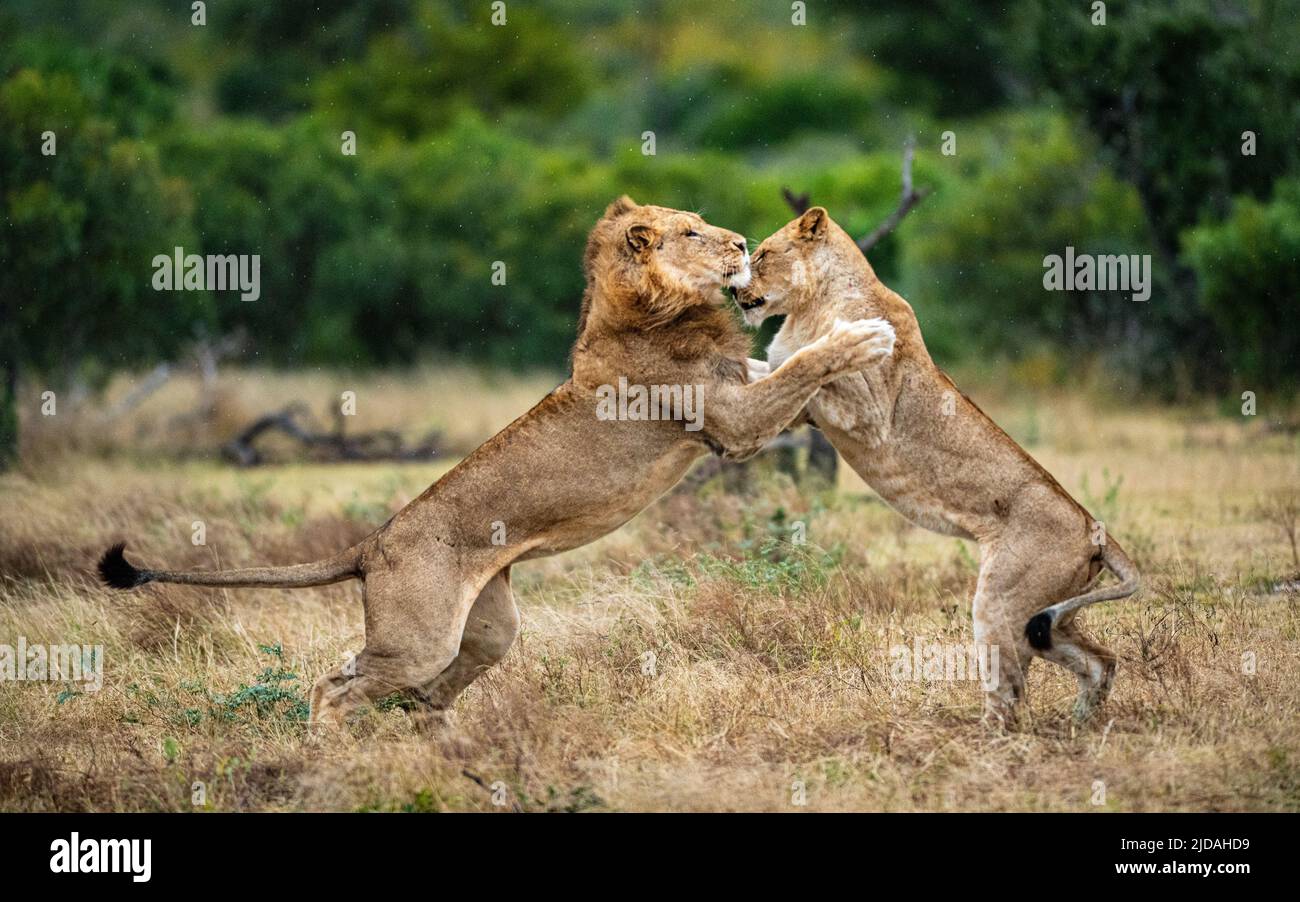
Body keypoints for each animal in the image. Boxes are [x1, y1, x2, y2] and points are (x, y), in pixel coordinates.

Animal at [99, 197, 896, 734]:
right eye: (693, 233)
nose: (739, 243)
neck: (647, 309)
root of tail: (372, 544)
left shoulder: (741, 392)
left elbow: (785, 368)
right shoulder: (731, 424)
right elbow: (803, 368)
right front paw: (864, 336)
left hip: (484, 626)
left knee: (408, 687)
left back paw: (443, 746)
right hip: (420, 636)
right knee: (336, 686)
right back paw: (329, 753)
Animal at [736, 207, 1139, 726]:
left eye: (764, 254)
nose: (733, 293)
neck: (811, 305)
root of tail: (1094, 529)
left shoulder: (868, 414)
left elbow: (810, 366)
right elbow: (765, 373)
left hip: (1001, 601)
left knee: (1011, 694)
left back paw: (987, 735)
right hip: (1048, 615)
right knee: (1099, 661)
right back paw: (1079, 723)